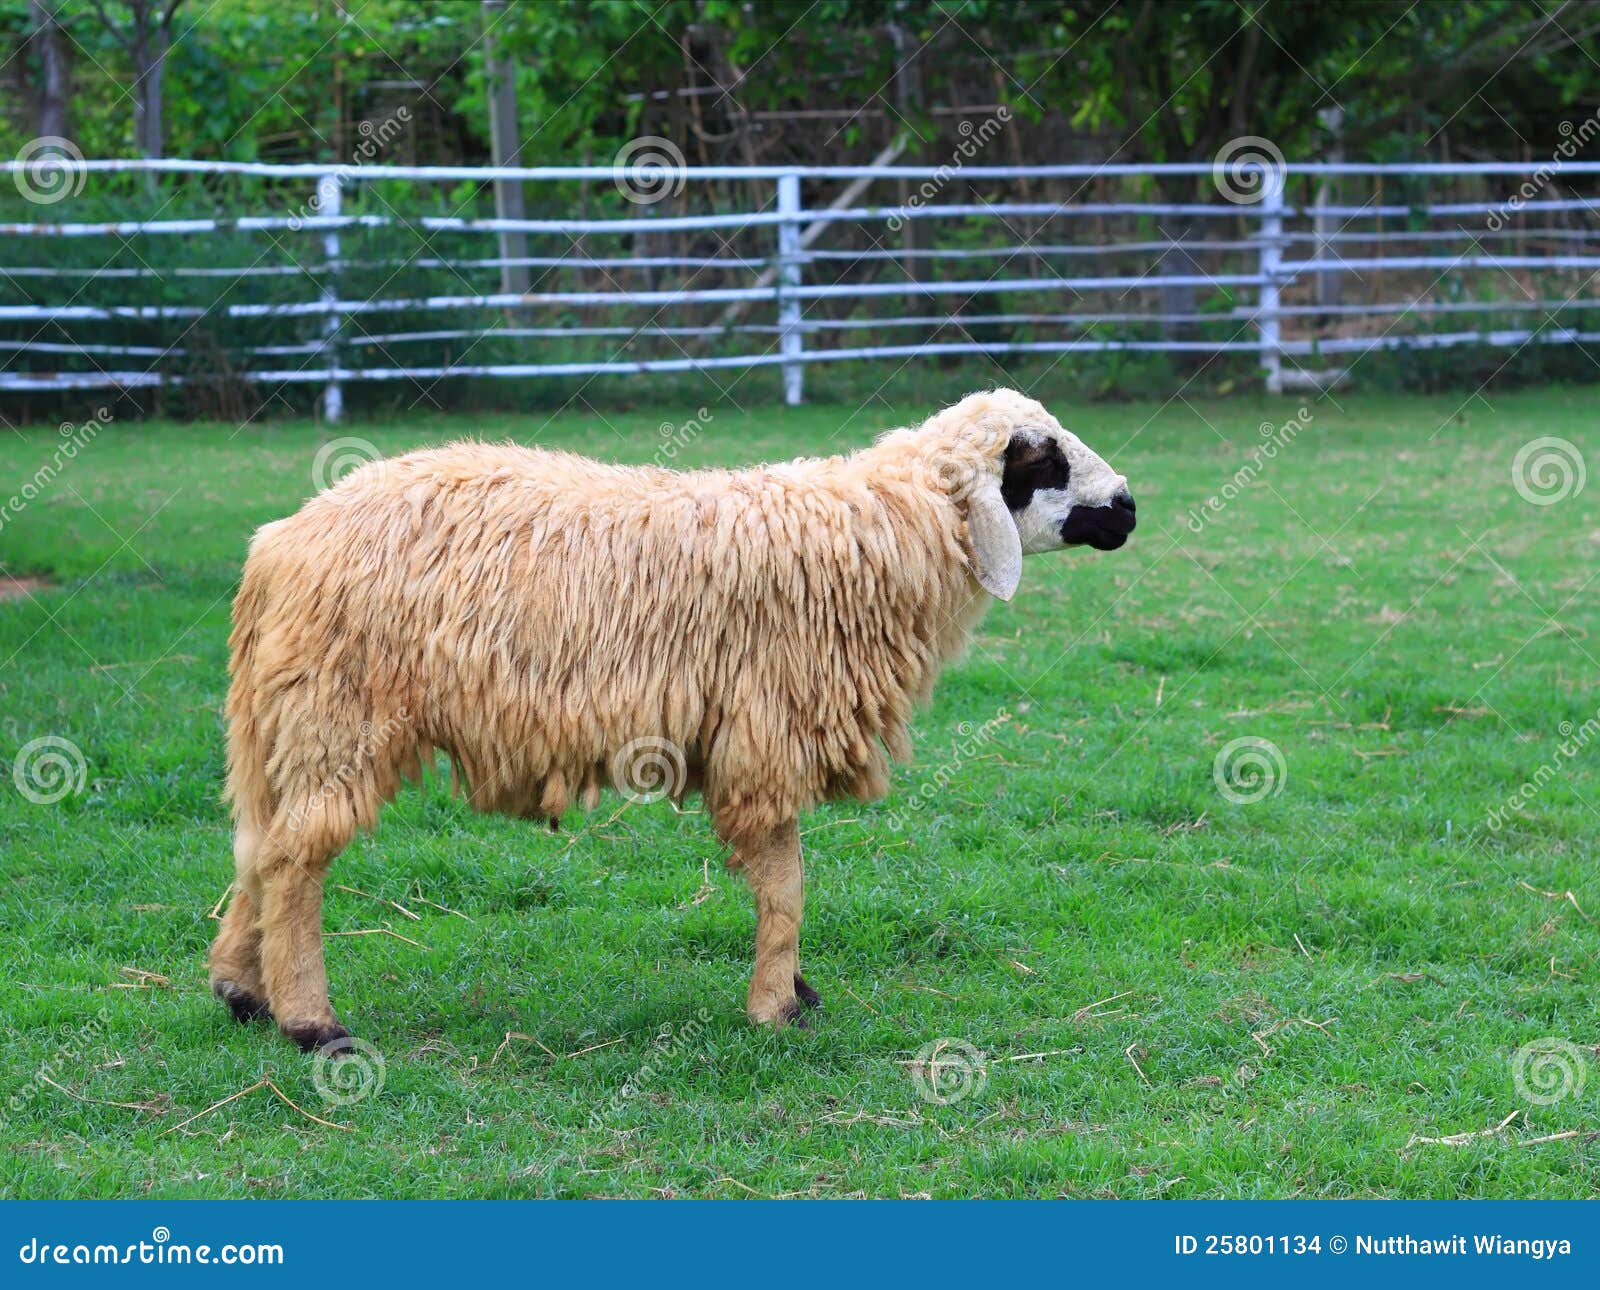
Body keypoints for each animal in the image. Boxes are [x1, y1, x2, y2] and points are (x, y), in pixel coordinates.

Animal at [209, 388, 1136, 1052]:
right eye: (1042, 458)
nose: (1128, 506)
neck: (877, 535)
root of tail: (278, 545)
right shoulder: (764, 736)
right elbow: (785, 882)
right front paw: (776, 1007)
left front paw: (794, 990)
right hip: (340, 716)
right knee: (292, 861)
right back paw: (313, 1023)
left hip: (289, 719)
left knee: (257, 845)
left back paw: (241, 989)